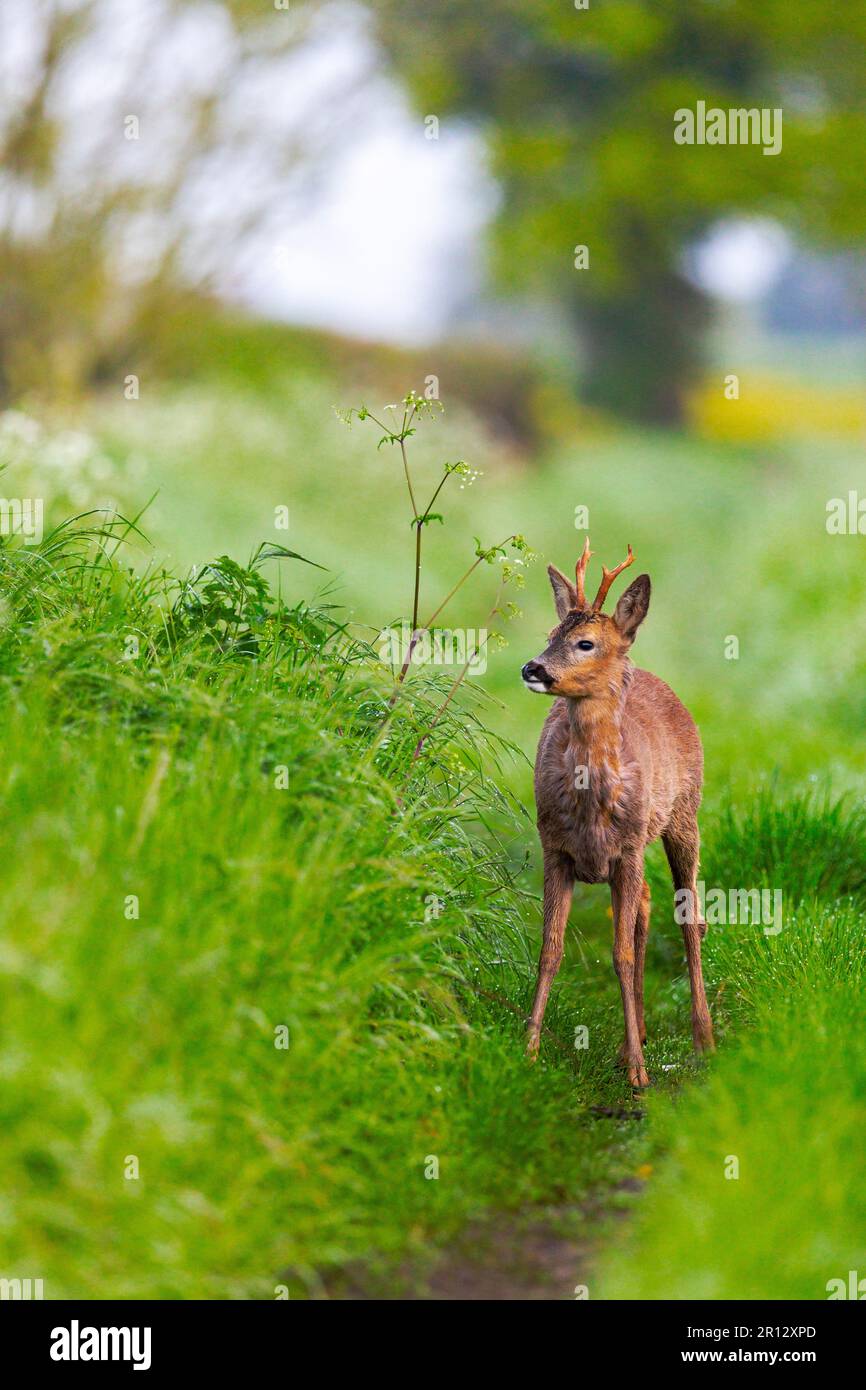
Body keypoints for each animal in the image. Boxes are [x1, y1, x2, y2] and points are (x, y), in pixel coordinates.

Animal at [520, 538, 714, 1089]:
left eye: (585, 643)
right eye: (550, 635)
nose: (533, 668)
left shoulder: (626, 850)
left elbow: (622, 955)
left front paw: (638, 1075)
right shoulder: (556, 849)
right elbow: (549, 950)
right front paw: (528, 1051)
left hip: (683, 816)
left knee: (691, 917)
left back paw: (703, 1038)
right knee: (647, 904)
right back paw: (643, 1033)